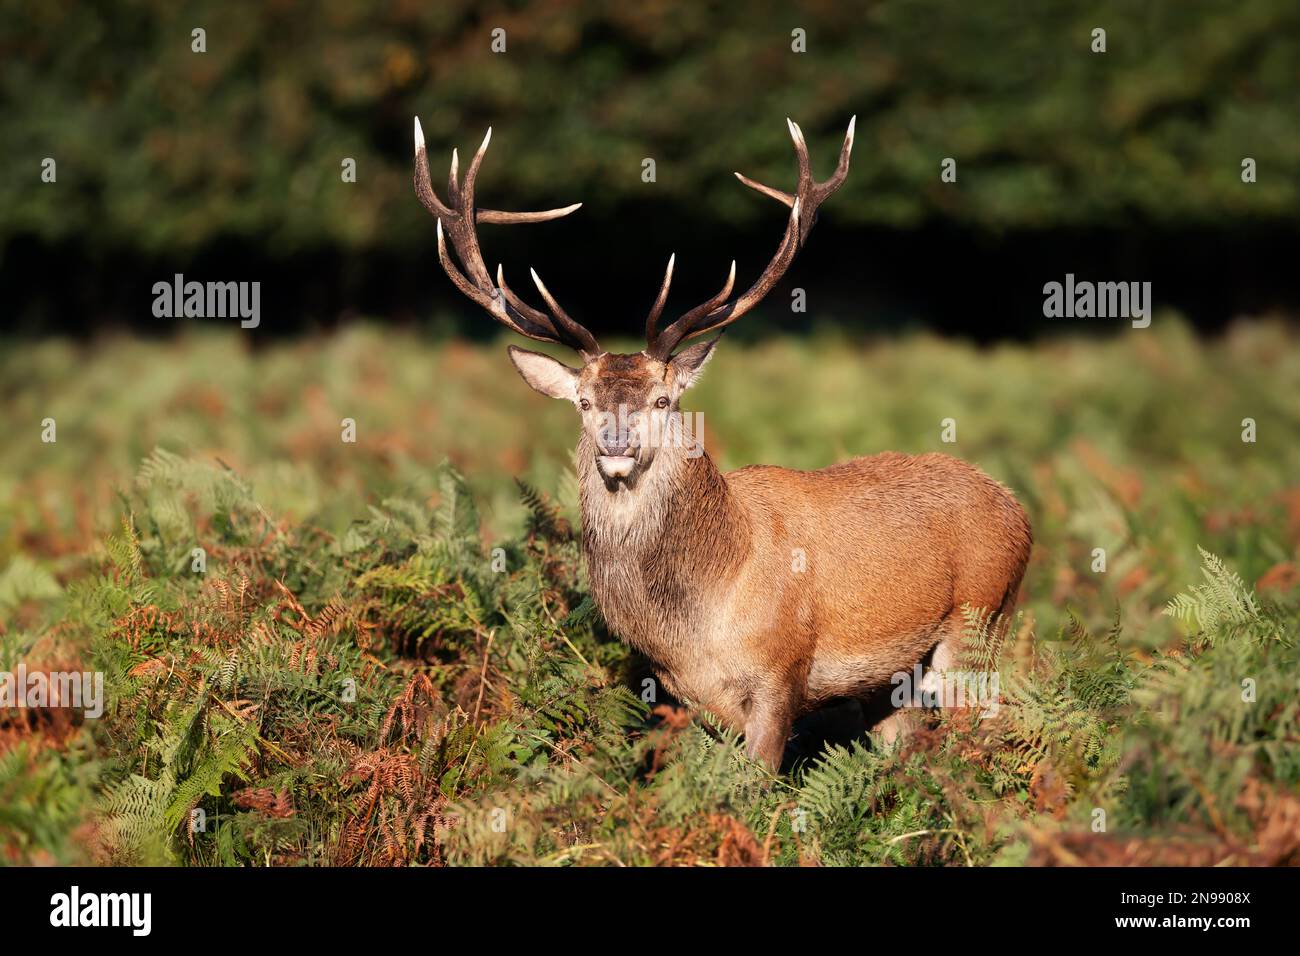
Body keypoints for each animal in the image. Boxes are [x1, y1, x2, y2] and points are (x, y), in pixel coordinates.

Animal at [413, 115, 1032, 768]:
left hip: (983, 616)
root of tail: (1017, 508)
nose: (615, 444)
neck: (697, 623)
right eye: (583, 402)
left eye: (663, 401)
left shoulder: (783, 672)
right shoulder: (691, 696)